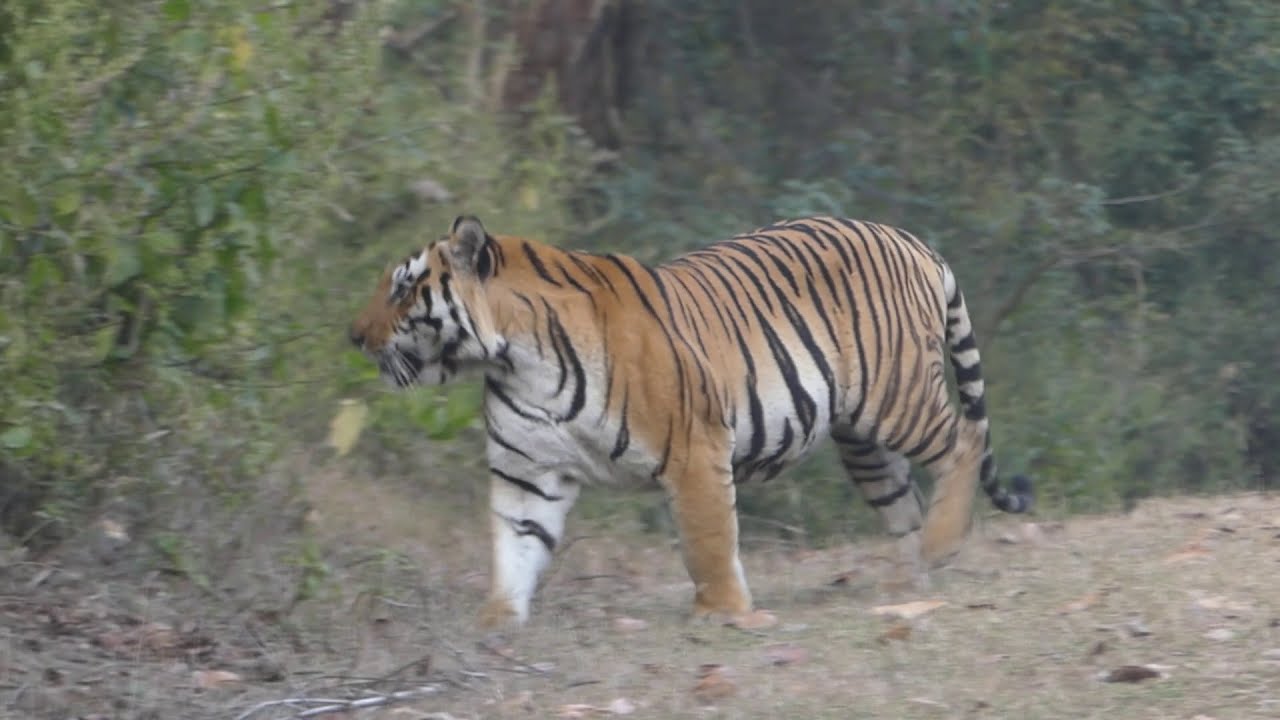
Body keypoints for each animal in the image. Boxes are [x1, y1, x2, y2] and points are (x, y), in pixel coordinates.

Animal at [349, 214, 1033, 627]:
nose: (353, 335)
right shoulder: (527, 471)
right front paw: (496, 623)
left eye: (403, 289)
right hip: (862, 439)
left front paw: (724, 613)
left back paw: (943, 545)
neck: (515, 358)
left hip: (898, 396)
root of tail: (912, 240)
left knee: (965, 440)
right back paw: (907, 584)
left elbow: (707, 542)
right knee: (903, 504)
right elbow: (514, 547)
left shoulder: (695, 448)